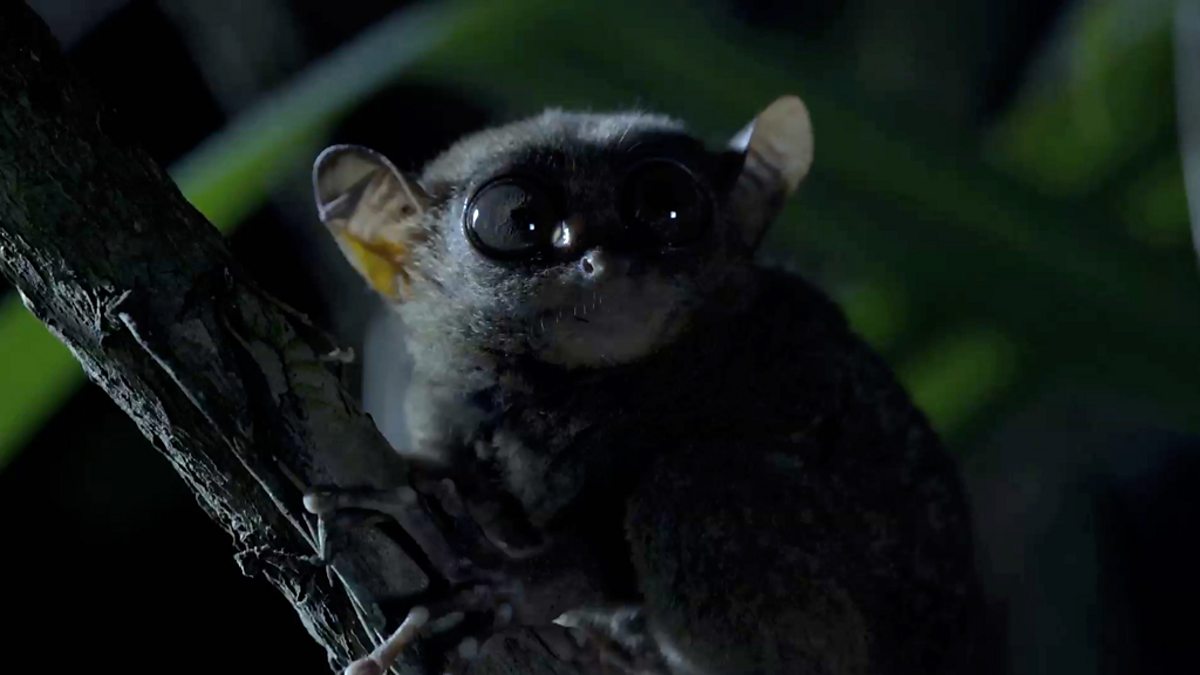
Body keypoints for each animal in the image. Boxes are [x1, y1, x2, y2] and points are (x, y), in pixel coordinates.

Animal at [308, 96, 984, 675]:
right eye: (516, 219)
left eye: (668, 207)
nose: (607, 259)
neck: (578, 394)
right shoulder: (441, 403)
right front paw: (428, 478)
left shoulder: (768, 364)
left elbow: (605, 553)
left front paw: (499, 584)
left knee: (691, 484)